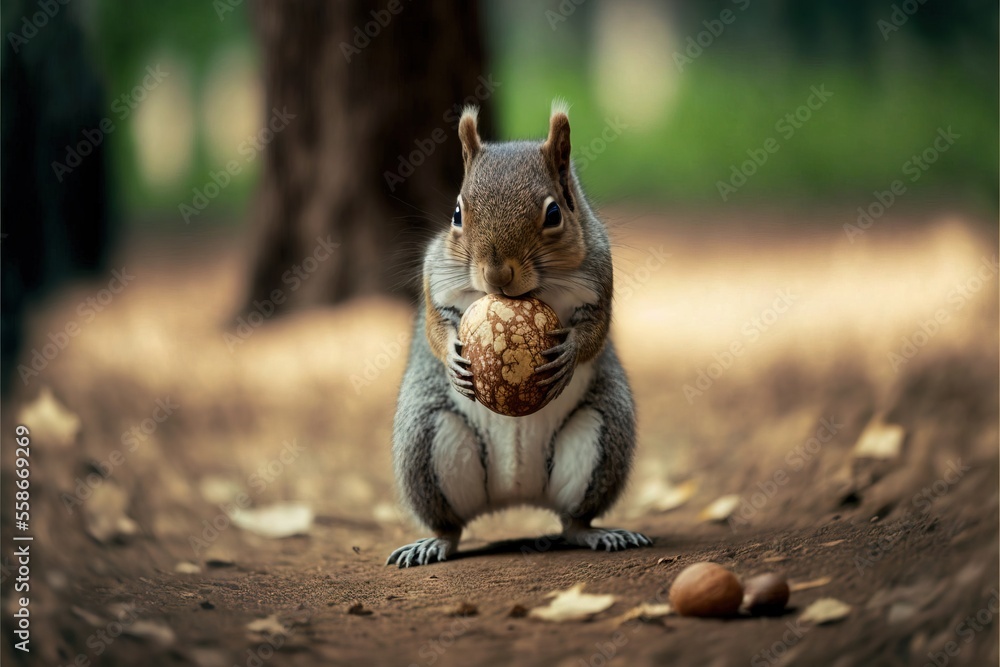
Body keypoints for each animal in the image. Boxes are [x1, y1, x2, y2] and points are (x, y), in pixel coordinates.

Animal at [387, 102, 651, 567]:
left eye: (554, 214)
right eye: (457, 213)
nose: (497, 274)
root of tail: (515, 492)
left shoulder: (600, 277)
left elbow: (596, 328)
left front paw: (568, 356)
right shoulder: (435, 272)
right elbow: (435, 322)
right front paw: (453, 355)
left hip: (605, 433)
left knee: (574, 520)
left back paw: (596, 533)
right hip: (423, 441)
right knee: (451, 525)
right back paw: (435, 542)